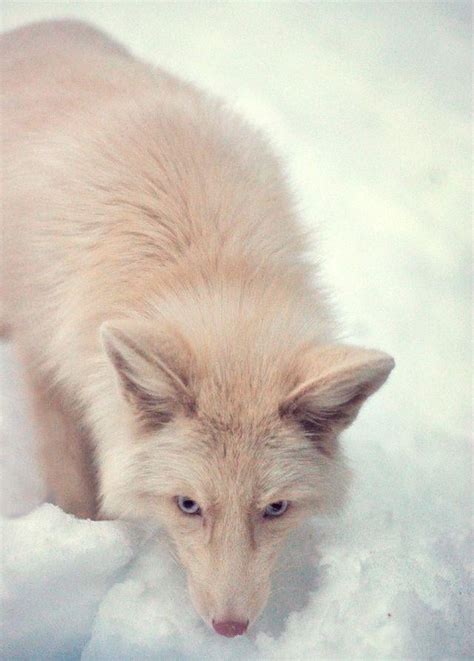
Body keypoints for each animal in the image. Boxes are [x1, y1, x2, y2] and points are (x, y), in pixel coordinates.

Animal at [0, 20, 394, 636]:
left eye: (275, 508)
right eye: (188, 506)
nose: (230, 628)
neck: (203, 256)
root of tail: (44, 26)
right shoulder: (46, 361)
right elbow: (76, 490)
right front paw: (90, 539)